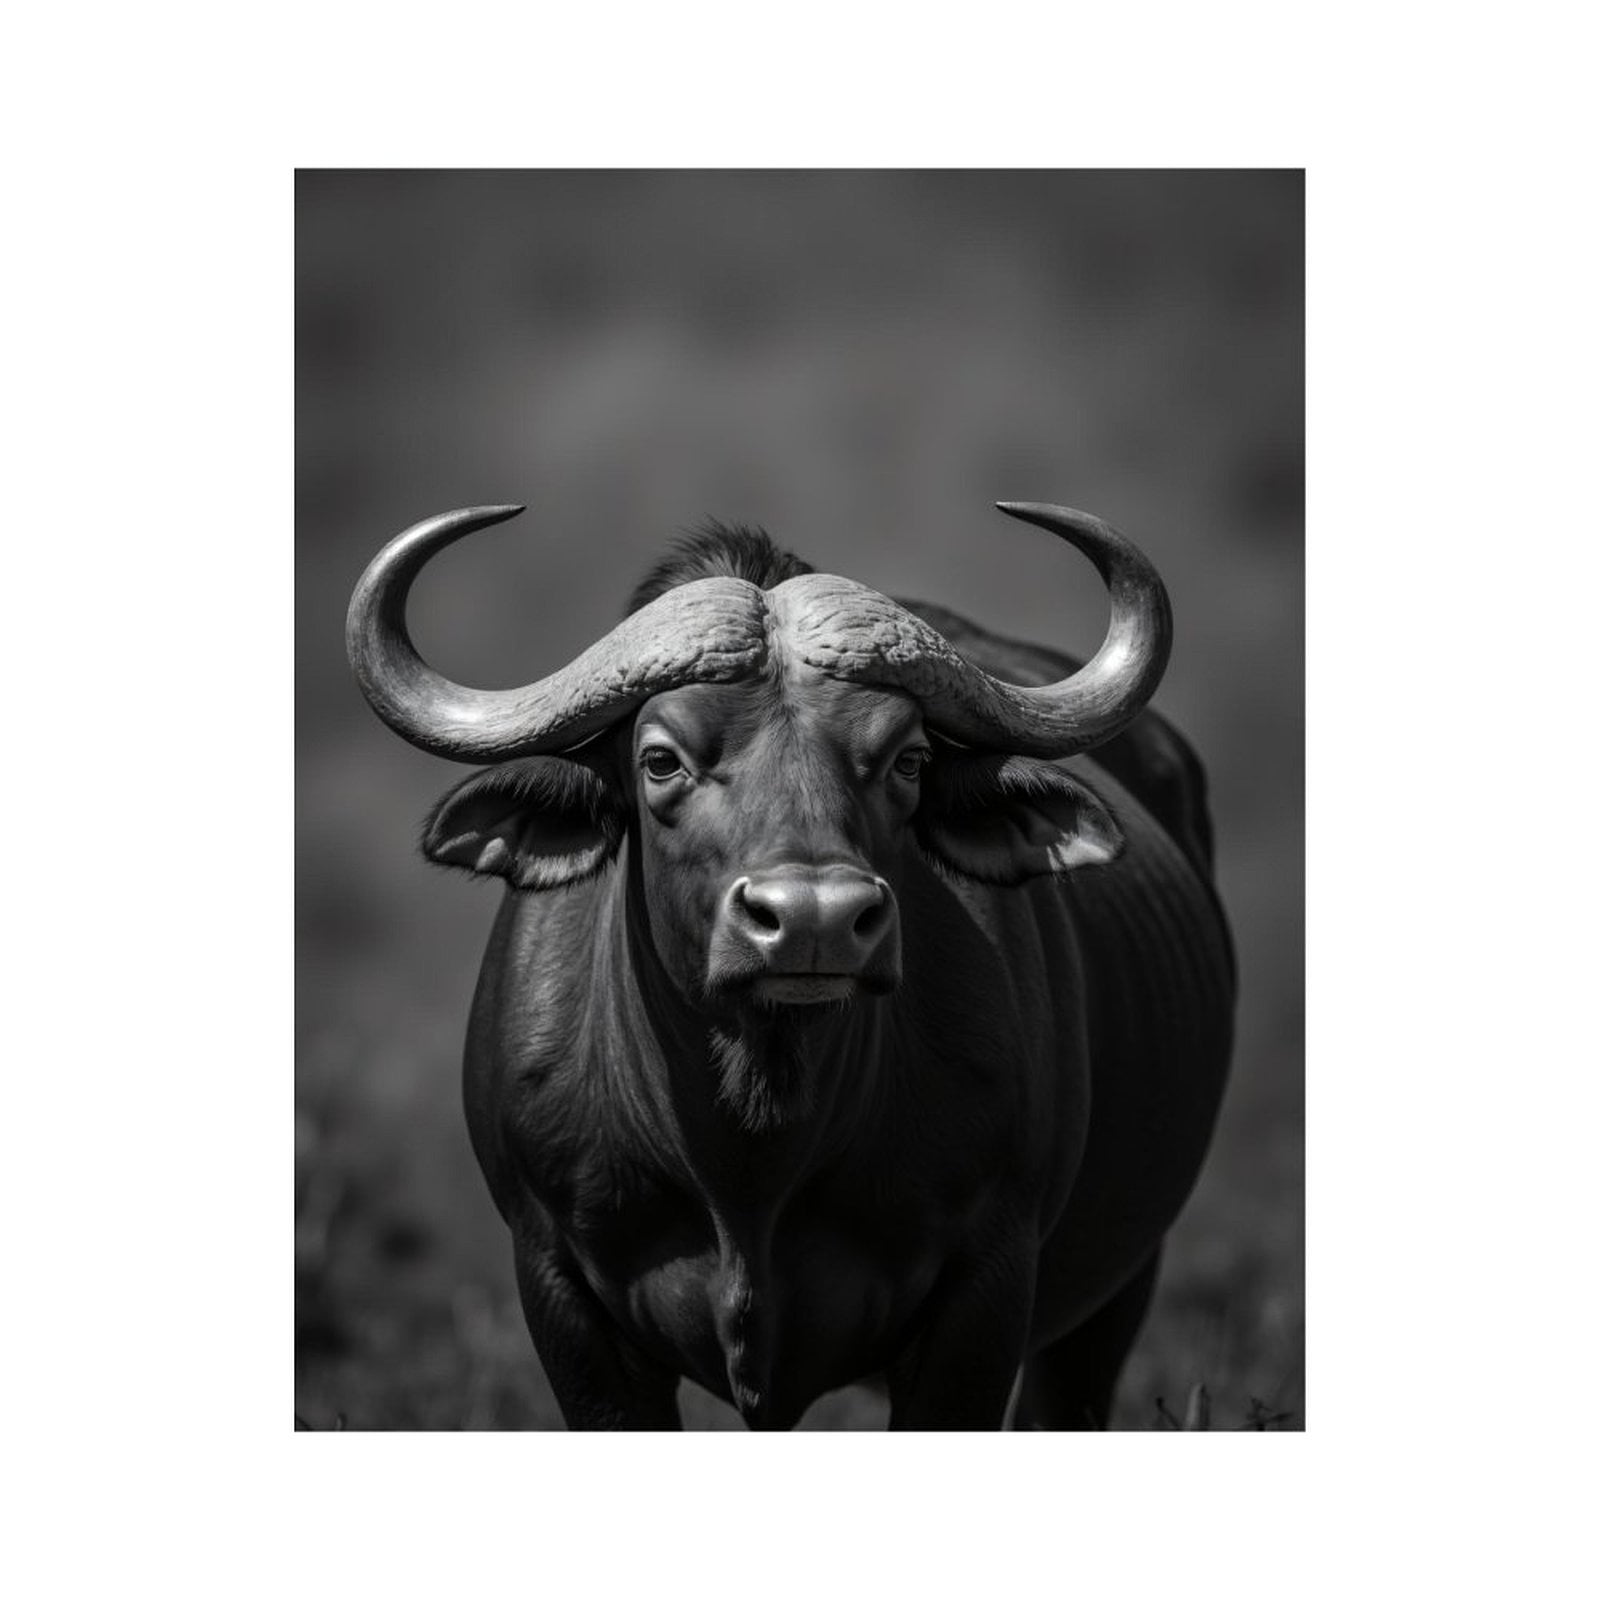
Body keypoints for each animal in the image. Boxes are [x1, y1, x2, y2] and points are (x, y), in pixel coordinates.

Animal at [345, 501, 1233, 1429]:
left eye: (908, 759)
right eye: (660, 760)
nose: (815, 921)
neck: (752, 1158)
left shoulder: (986, 1294)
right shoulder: (560, 1293)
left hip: (1117, 1289)